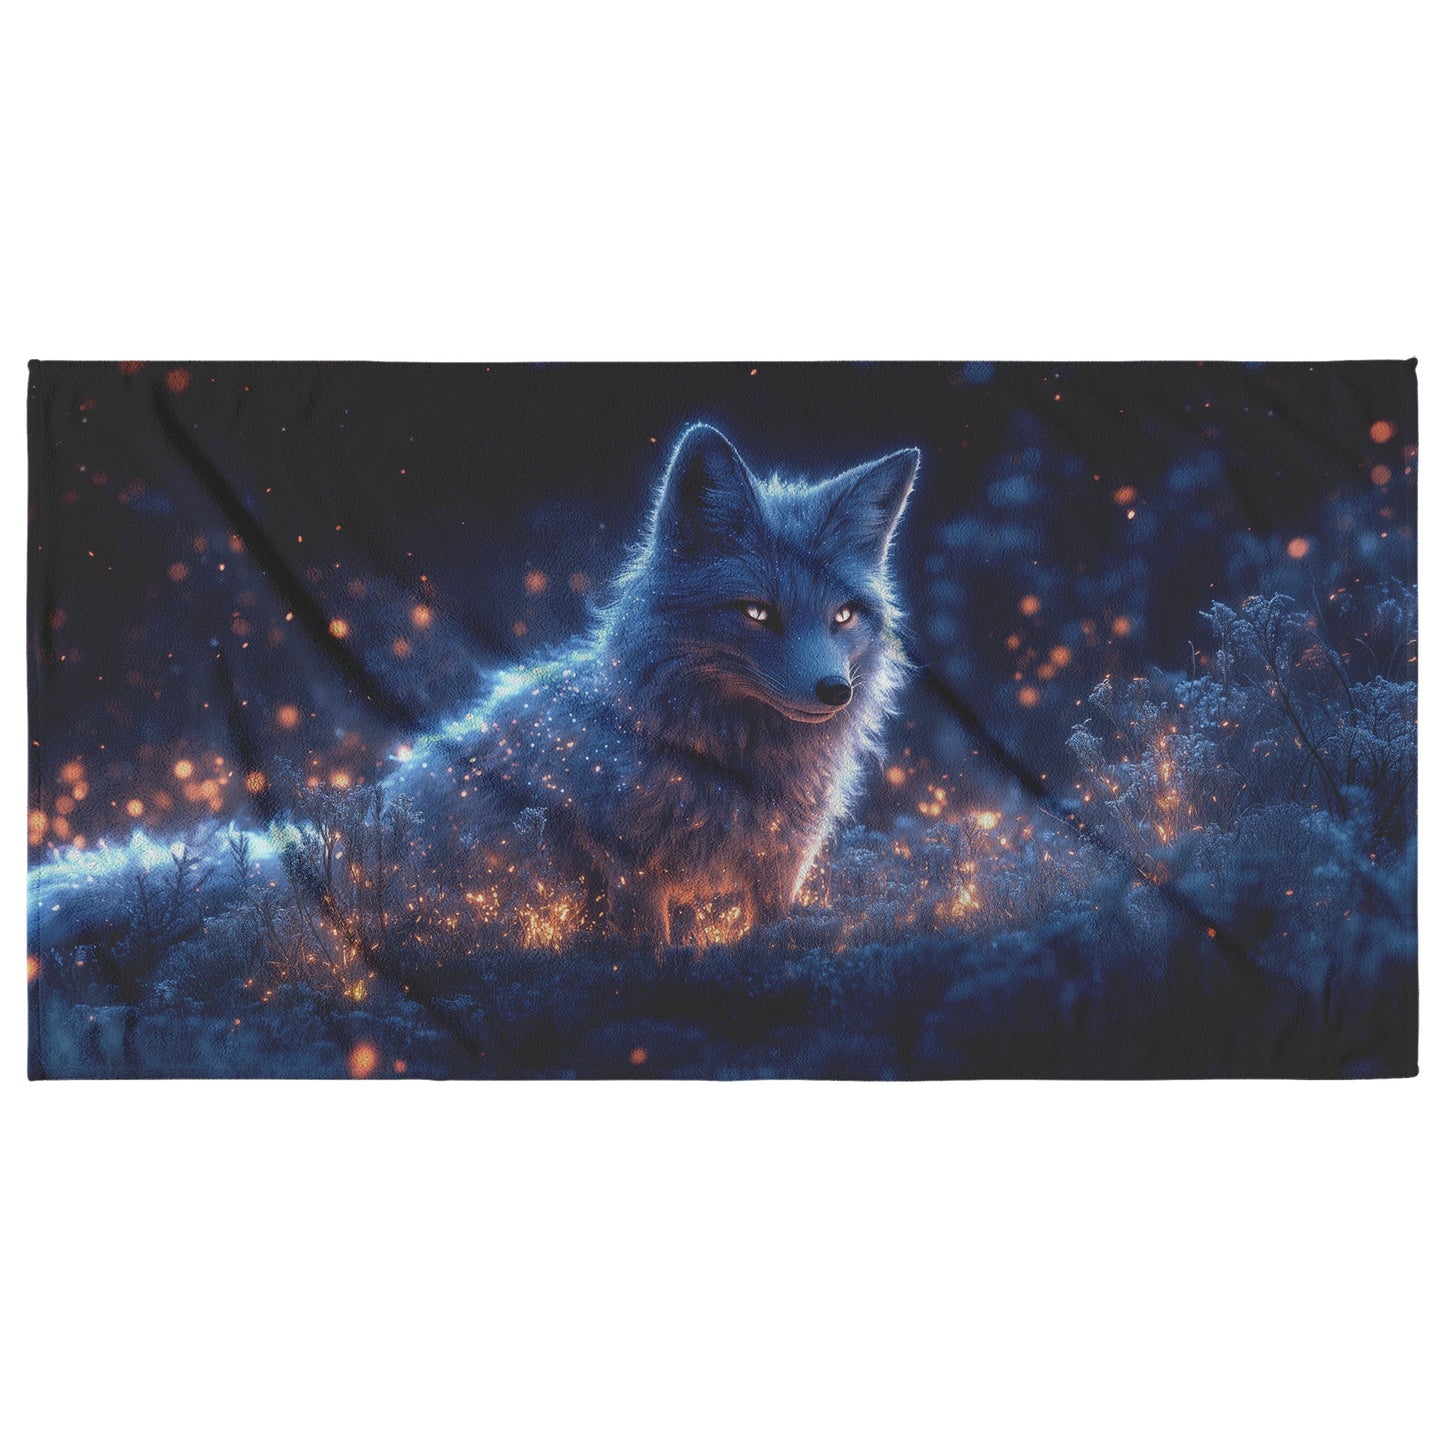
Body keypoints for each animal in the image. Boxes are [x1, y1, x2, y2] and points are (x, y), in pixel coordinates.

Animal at [398, 423, 920, 944]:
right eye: (756, 612)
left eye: (844, 615)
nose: (835, 691)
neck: (722, 763)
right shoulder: (630, 867)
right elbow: (651, 948)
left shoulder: (780, 867)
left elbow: (772, 934)